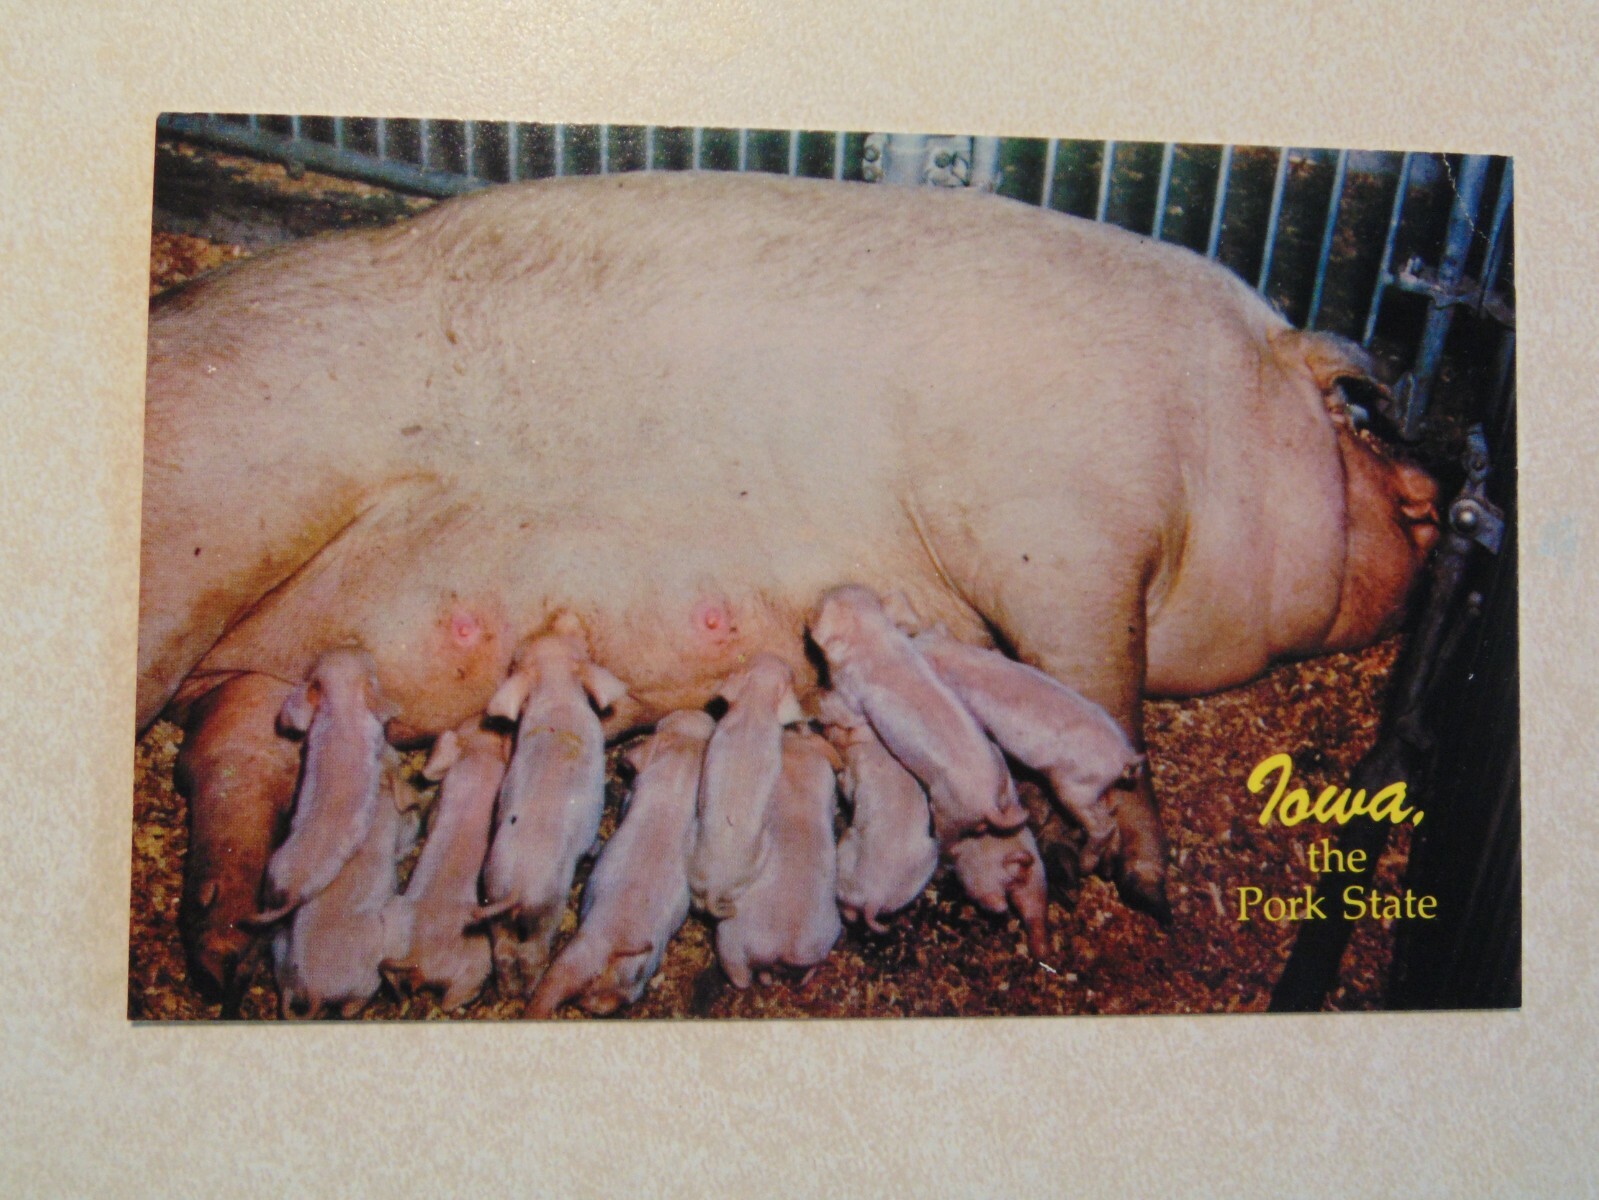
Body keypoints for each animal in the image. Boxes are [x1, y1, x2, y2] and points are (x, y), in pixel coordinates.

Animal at [477, 615, 629, 993]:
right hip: (546, 907)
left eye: (519, 654)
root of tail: (516, 888)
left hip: (490, 890)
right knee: (531, 950)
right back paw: (530, 988)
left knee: (502, 949)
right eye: (582, 648)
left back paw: (509, 990)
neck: (557, 696)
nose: (561, 618)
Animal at [688, 653, 806, 917]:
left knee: (697, 901)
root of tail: (715, 886)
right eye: (791, 674)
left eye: (751, 661)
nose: (773, 655)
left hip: (692, 860)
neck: (755, 707)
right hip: (759, 858)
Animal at [809, 585, 1026, 845]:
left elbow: (841, 710)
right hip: (1004, 780)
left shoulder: (851, 693)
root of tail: (991, 803)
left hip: (950, 811)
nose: (826, 589)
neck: (874, 639)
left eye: (823, 602)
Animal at [816, 690, 939, 931]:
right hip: (921, 867)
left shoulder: (852, 776)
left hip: (846, 852)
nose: (822, 727)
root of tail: (874, 897)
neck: (872, 743)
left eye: (841, 727)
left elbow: (845, 783)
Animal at [909, 623, 1141, 875]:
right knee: (1112, 813)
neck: (958, 655)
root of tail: (1124, 755)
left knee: (1103, 825)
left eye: (915, 644)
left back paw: (1085, 864)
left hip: (1076, 787)